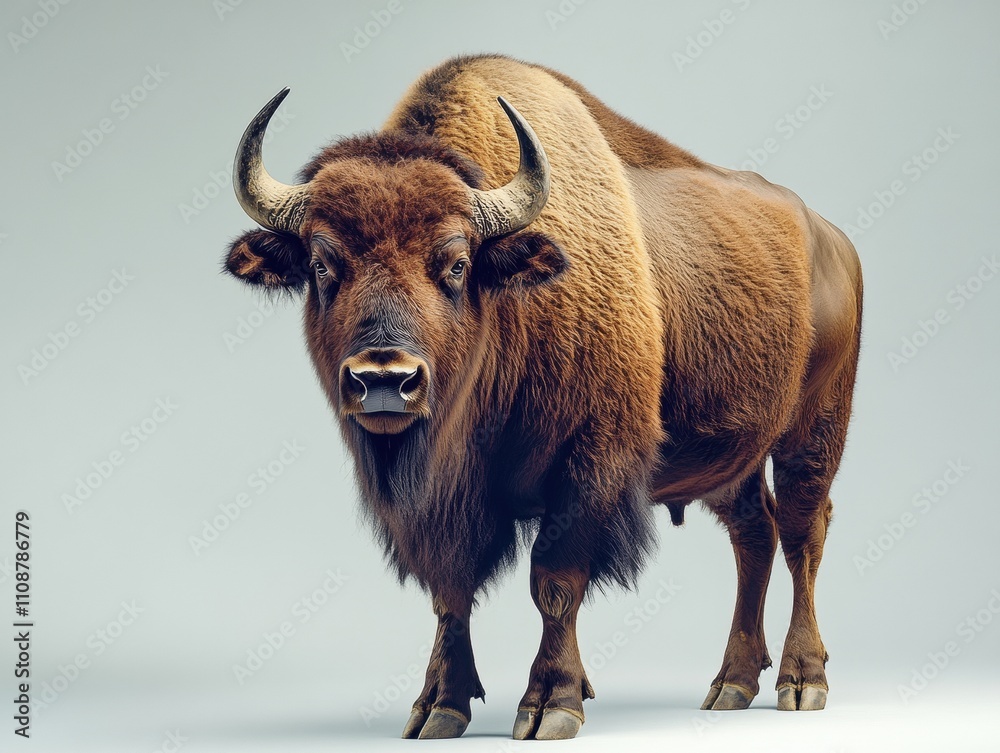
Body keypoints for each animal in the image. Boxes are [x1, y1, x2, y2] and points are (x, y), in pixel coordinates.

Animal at [223, 54, 862, 740]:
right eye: (322, 265)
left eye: (455, 263)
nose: (385, 379)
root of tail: (835, 242)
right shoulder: (445, 505)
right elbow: (450, 592)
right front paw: (437, 707)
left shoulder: (588, 468)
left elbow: (554, 581)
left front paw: (550, 704)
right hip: (729, 460)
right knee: (754, 536)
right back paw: (731, 686)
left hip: (812, 432)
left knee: (801, 532)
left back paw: (802, 682)